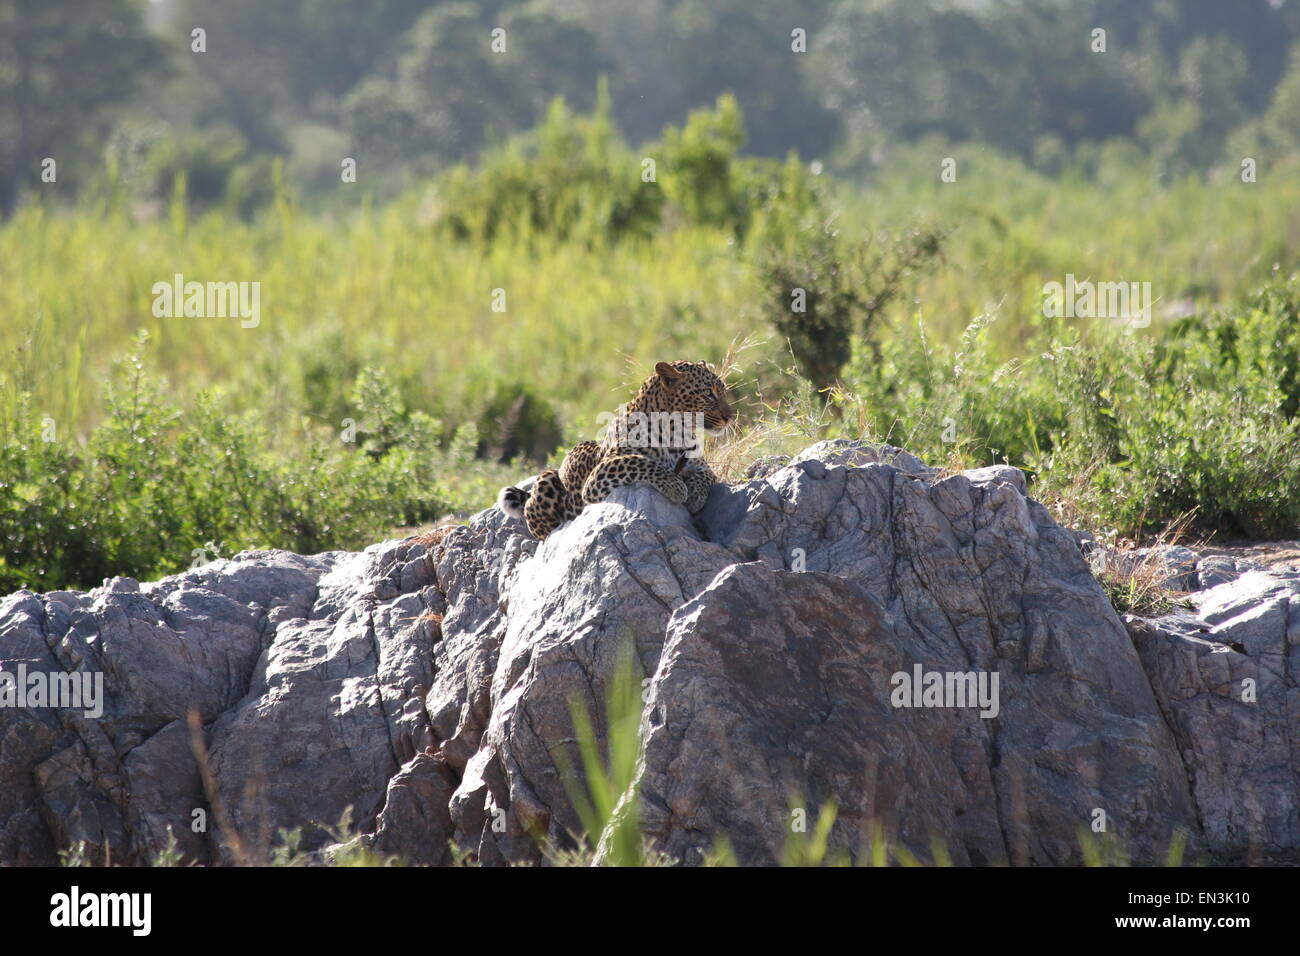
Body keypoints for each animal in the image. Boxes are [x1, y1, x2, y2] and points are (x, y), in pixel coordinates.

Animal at [496, 361, 736, 540]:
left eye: (722, 391)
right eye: (709, 394)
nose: (730, 417)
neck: (678, 430)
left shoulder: (698, 462)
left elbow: (707, 474)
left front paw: (695, 495)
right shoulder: (598, 476)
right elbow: (639, 461)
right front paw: (676, 487)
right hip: (546, 481)